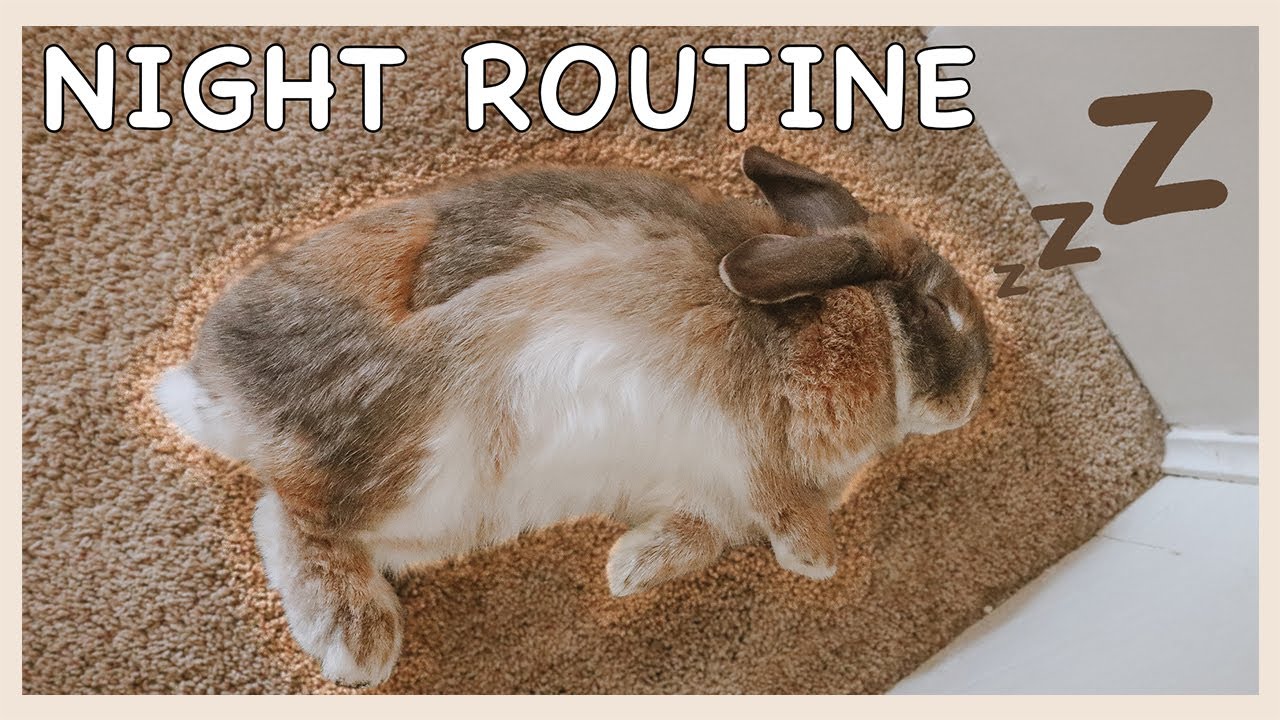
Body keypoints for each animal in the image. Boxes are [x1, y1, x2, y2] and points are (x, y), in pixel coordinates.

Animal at [154, 146, 993, 687]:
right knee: (285, 513)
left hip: (447, 514)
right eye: (943, 309)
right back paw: (356, 640)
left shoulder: (702, 494)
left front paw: (628, 571)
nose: (973, 400)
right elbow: (773, 492)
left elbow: (700, 533)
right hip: (419, 434)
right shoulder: (745, 426)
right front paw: (815, 554)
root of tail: (215, 393)